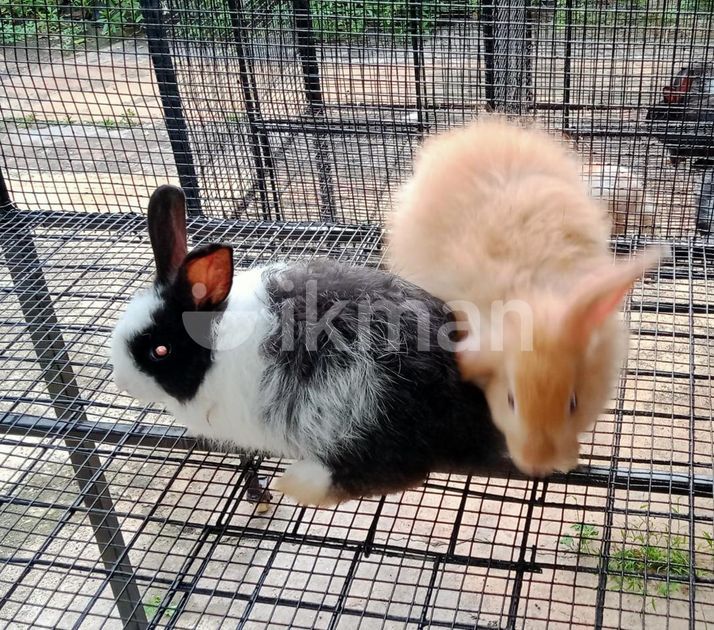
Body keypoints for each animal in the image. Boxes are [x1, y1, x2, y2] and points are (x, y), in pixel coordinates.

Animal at [110, 185, 507, 506]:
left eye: (160, 351)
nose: (121, 383)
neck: (218, 344)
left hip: (369, 413)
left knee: (389, 471)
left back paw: (295, 483)